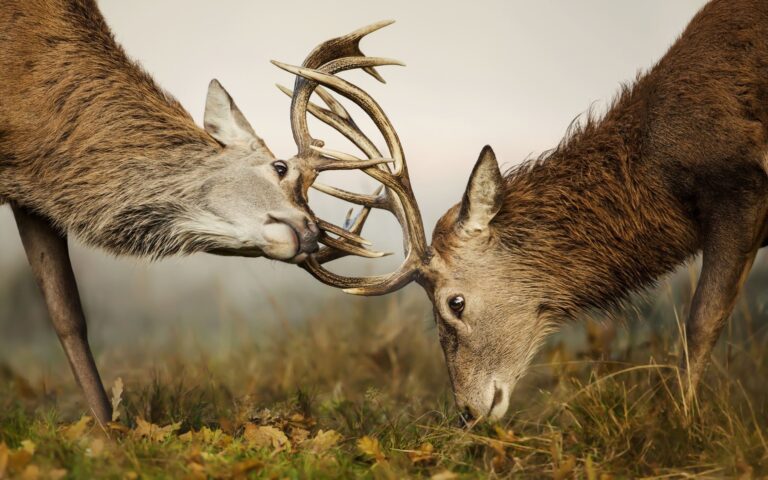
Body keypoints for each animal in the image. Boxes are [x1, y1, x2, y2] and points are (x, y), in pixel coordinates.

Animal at [275, 0, 768, 423]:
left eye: (454, 302)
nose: (467, 412)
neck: (659, 165)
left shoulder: (739, 186)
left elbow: (701, 322)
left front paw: (680, 424)